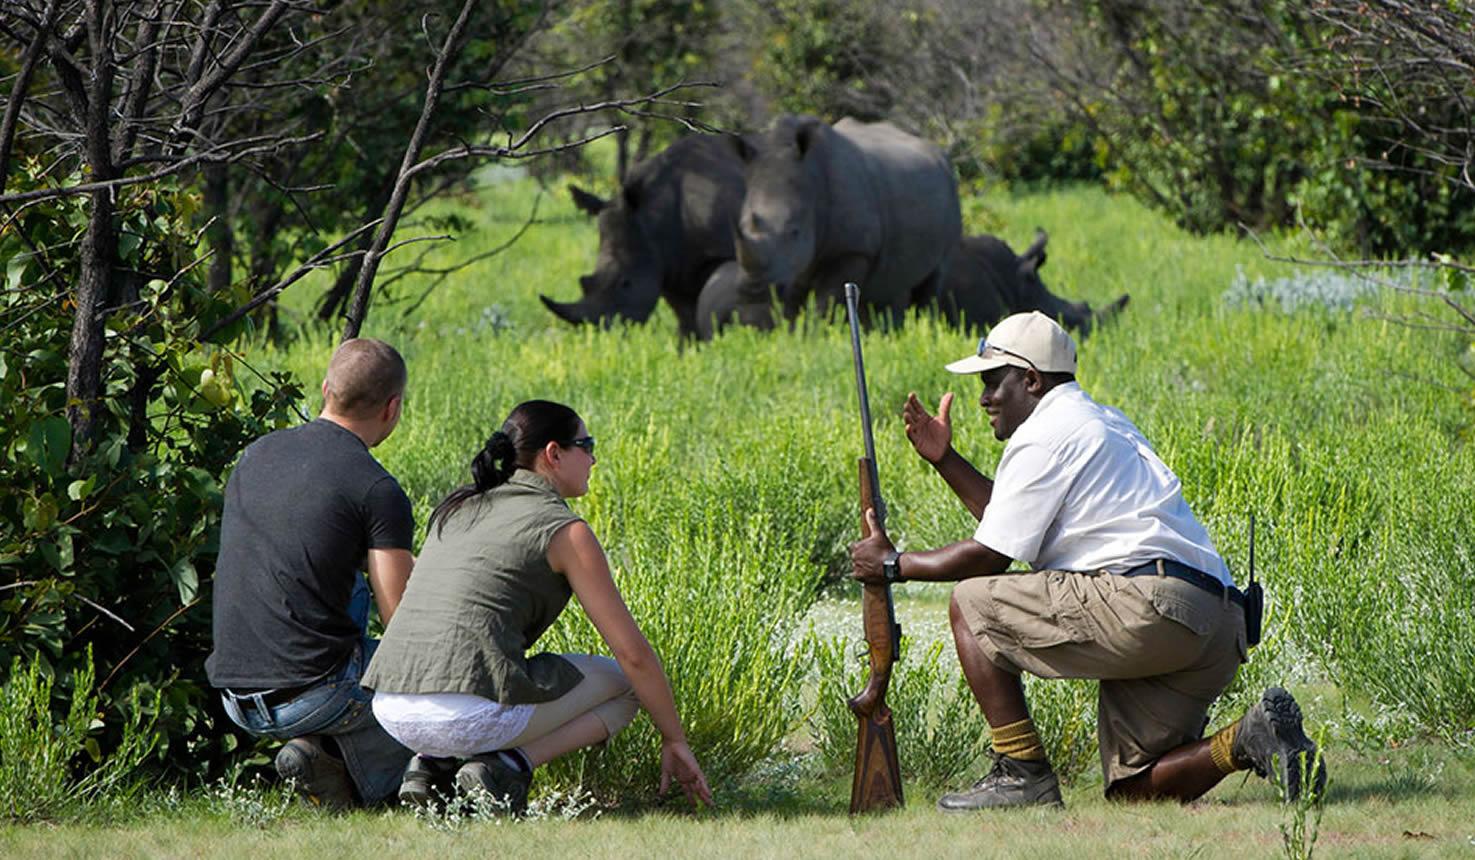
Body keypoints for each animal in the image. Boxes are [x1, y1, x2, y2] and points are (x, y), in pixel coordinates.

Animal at [729, 115, 961, 328]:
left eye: (794, 231)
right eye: (741, 227)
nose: (753, 291)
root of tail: (940, 153)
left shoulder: (853, 251)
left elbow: (827, 303)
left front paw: (819, 334)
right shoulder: (791, 266)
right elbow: (792, 307)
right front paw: (794, 335)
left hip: (950, 193)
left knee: (932, 281)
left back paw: (924, 328)